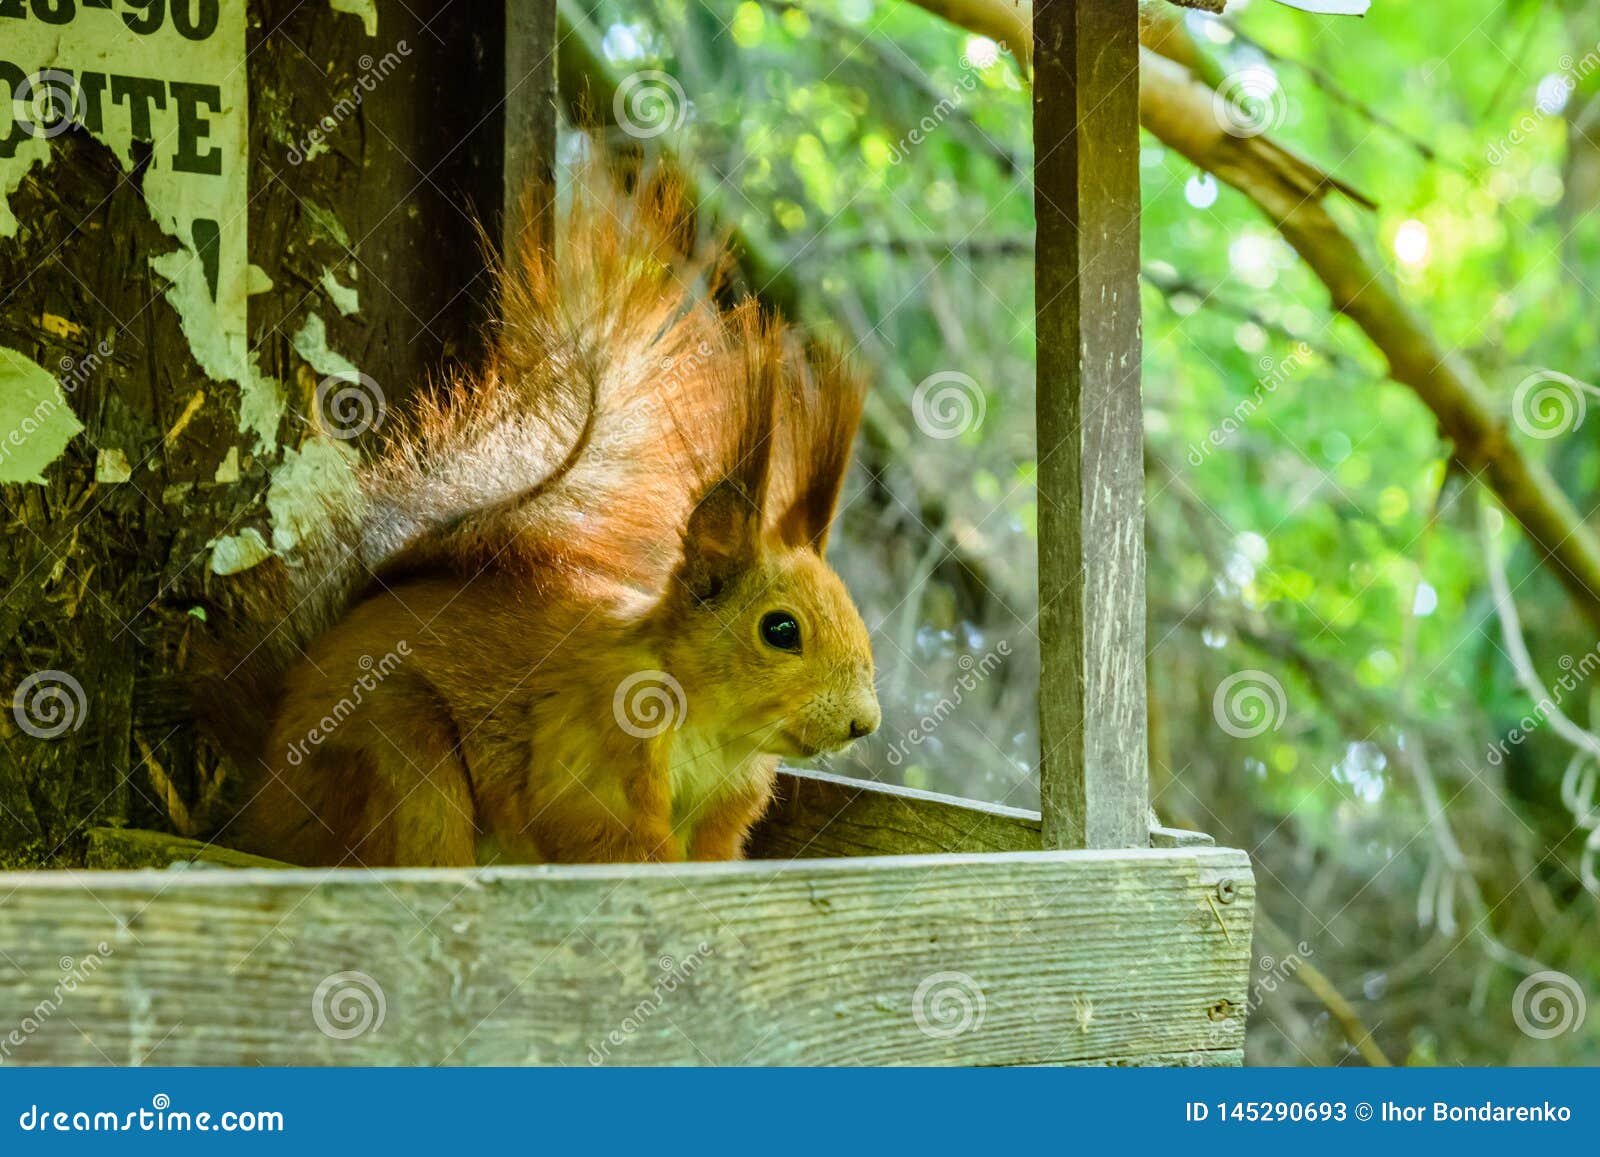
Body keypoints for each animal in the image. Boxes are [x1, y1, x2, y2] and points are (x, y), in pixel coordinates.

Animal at [194, 158, 880, 868]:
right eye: (781, 630)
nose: (864, 723)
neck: (715, 730)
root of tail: (264, 793)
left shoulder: (725, 807)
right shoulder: (597, 734)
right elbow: (596, 828)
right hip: (397, 754)